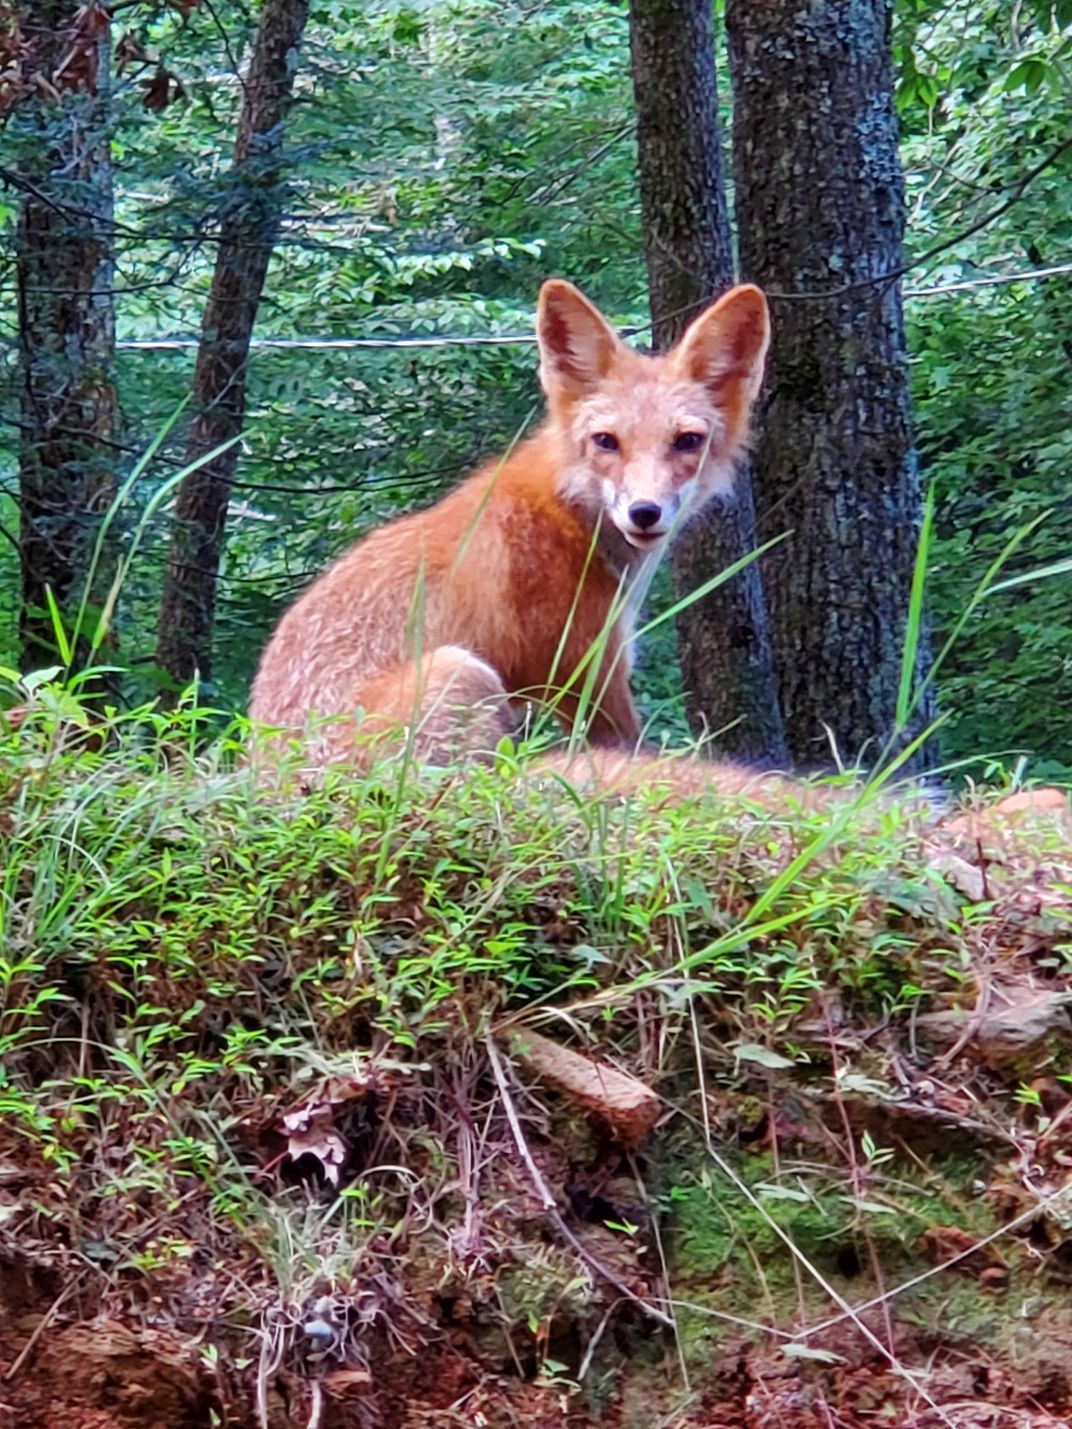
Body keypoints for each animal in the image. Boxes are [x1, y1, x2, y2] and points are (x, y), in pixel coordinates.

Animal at [249, 278, 770, 768]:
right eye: (606, 441)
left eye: (687, 441)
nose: (645, 512)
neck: (568, 509)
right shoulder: (586, 671)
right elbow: (630, 752)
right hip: (463, 673)